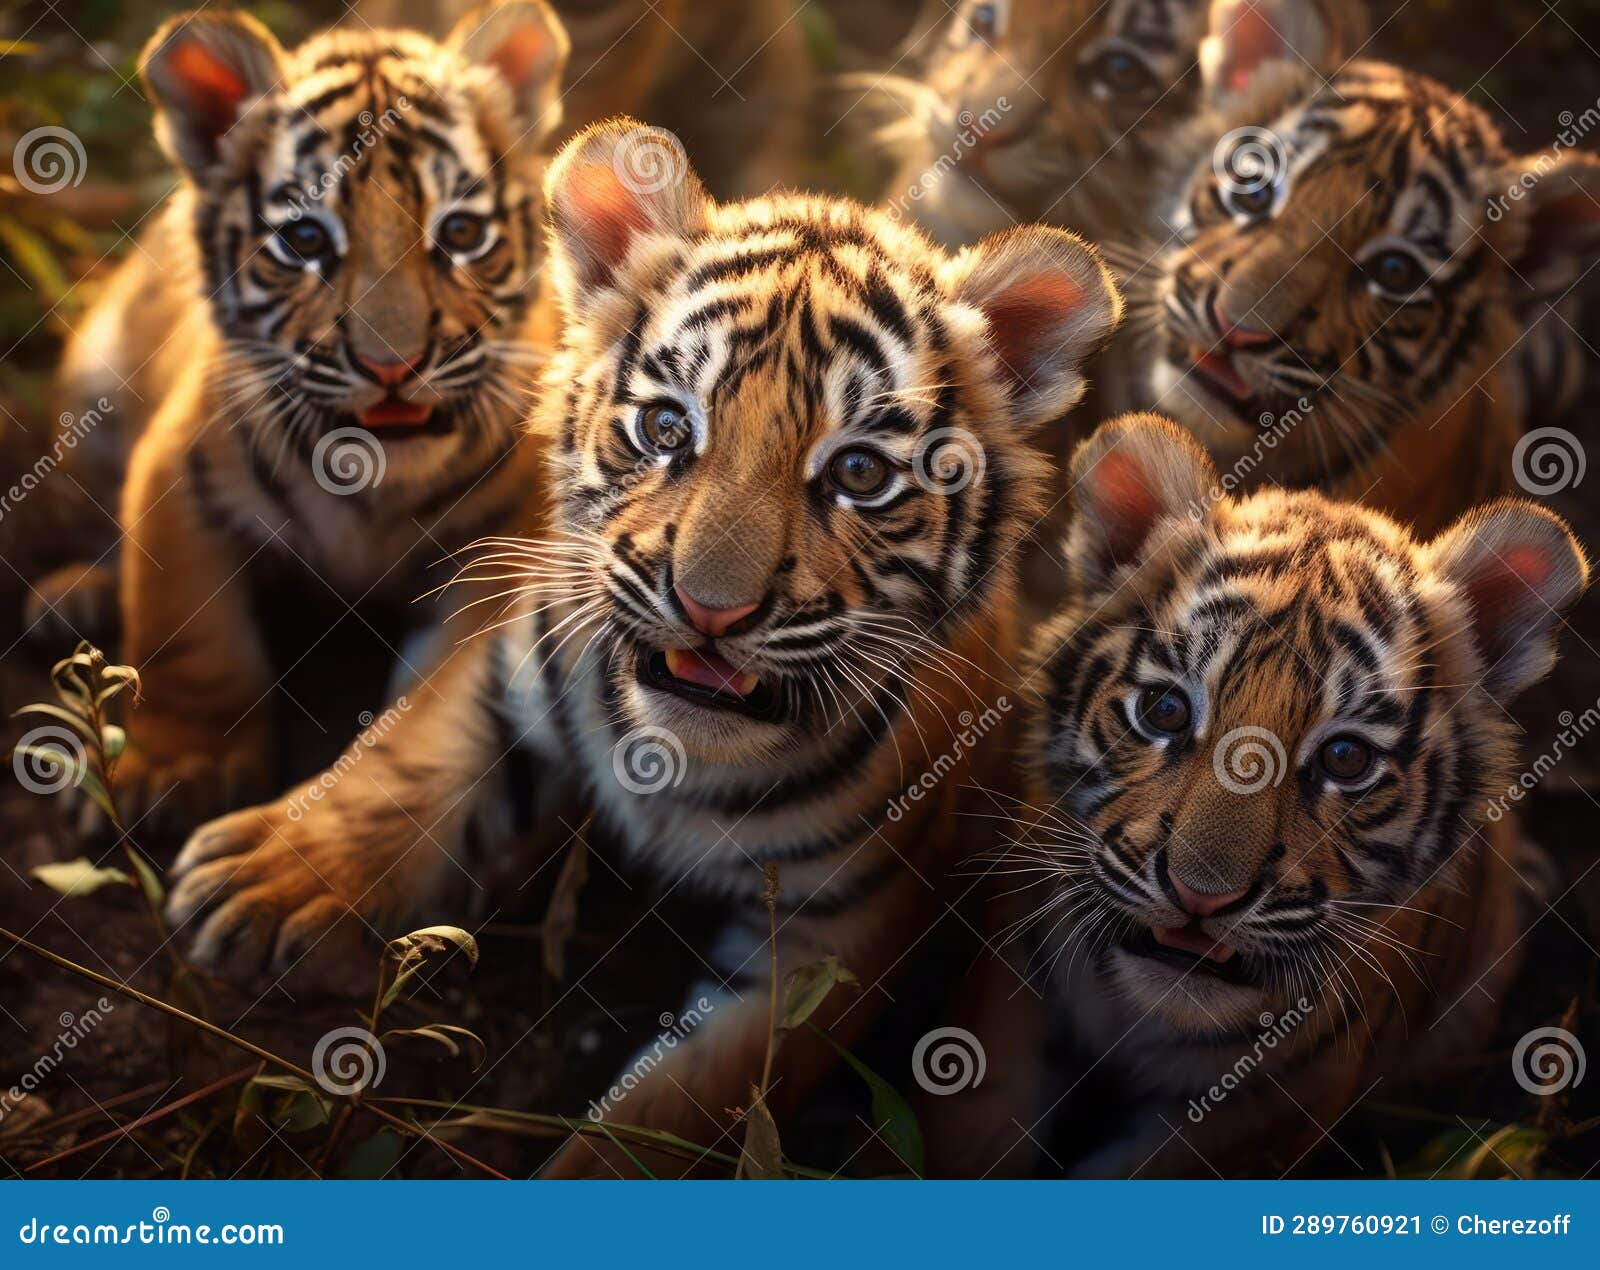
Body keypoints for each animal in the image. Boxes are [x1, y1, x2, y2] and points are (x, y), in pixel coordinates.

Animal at [33, 2, 570, 828]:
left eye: (460, 234)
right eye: (305, 239)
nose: (392, 366)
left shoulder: (506, 533)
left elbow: (439, 691)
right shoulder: (178, 470)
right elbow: (189, 633)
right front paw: (177, 766)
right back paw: (75, 592)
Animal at [159, 115, 1122, 1178]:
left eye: (861, 474)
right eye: (666, 427)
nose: (710, 610)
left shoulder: (825, 948)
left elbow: (670, 1109)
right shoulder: (511, 670)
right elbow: (406, 766)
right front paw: (269, 878)